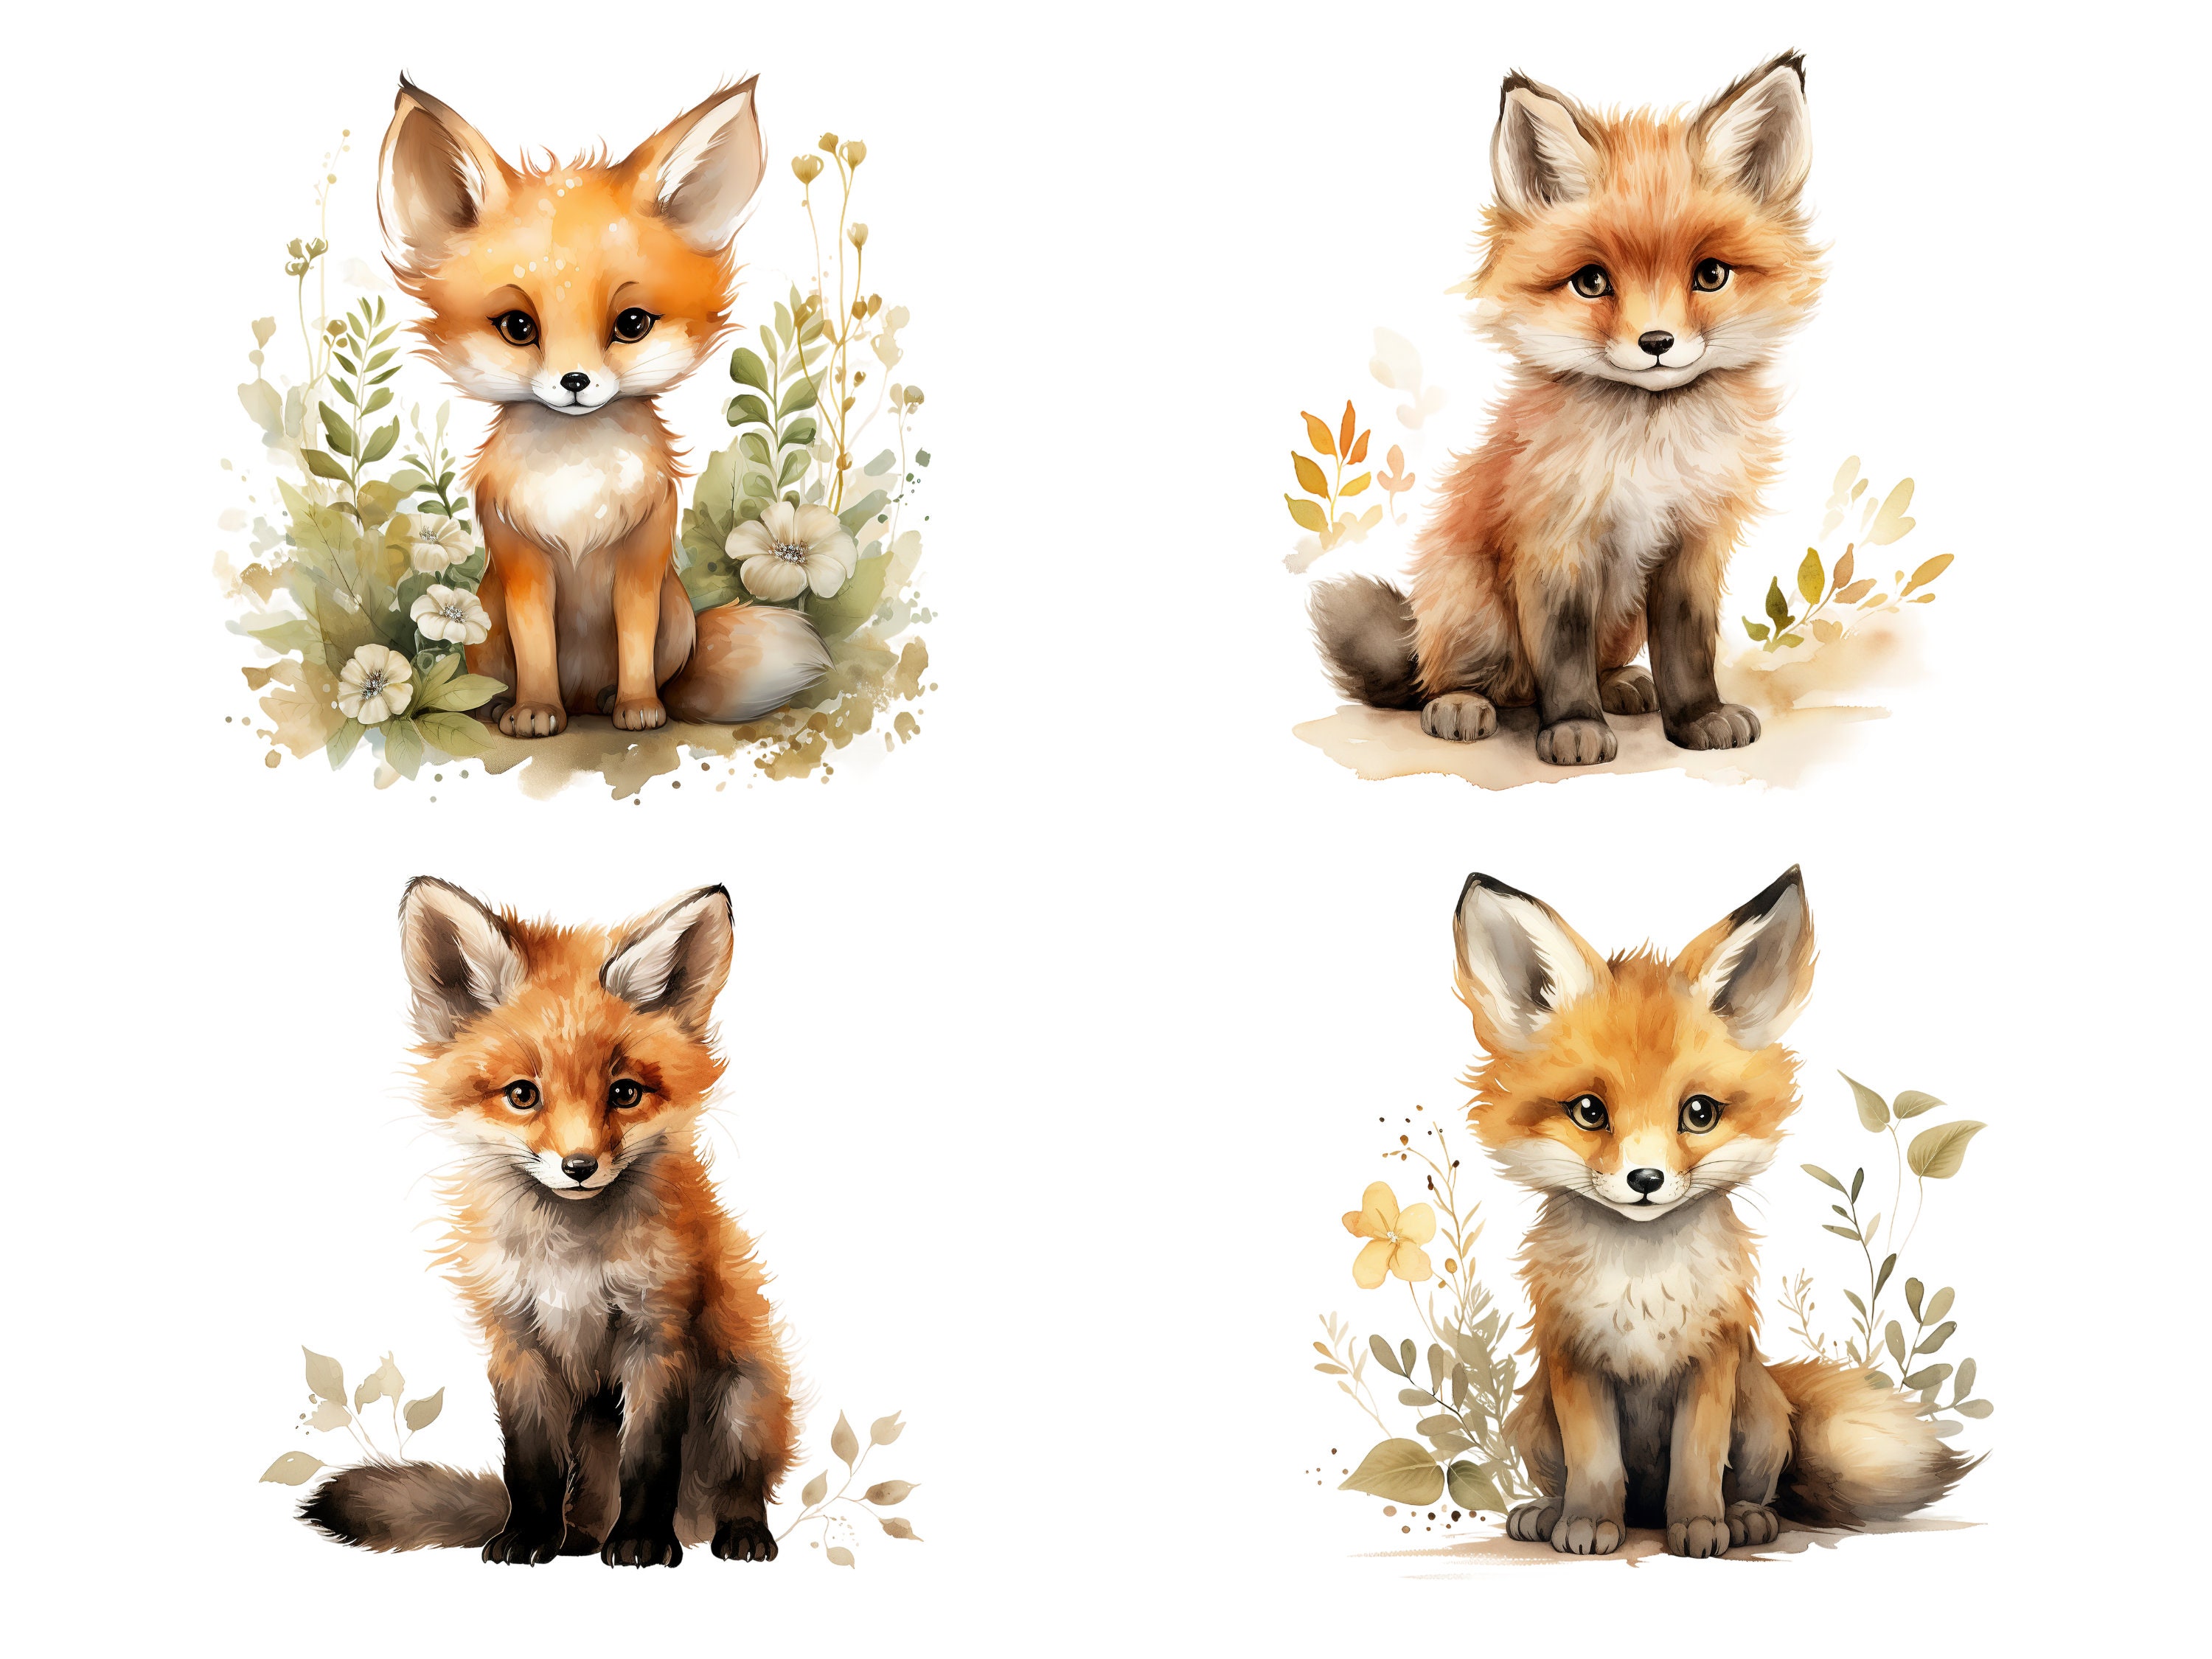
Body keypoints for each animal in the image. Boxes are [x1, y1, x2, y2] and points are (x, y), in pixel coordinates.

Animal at [301, 878, 795, 1567]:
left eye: (625, 1093)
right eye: (522, 1095)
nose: (580, 1166)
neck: (570, 1256)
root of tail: (694, 1518)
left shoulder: (657, 1332)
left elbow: (650, 1459)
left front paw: (643, 1541)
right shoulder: (516, 1339)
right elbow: (529, 1461)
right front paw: (528, 1536)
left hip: (744, 1396)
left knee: (742, 1481)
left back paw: (736, 1531)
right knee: (582, 1498)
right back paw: (577, 1538)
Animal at [377, 78, 829, 738]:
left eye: (632, 323)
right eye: (518, 327)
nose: (575, 380)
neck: (576, 479)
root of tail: (585, 695)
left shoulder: (642, 557)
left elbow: (633, 638)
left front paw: (639, 707)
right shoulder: (522, 563)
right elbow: (536, 648)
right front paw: (537, 710)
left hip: (676, 616)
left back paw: (622, 699)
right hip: (485, 619)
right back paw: (502, 706)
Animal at [1311, 54, 1824, 766]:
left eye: (1711, 275)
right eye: (1591, 282)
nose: (1657, 343)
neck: (1648, 447)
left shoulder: (1692, 547)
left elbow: (1689, 652)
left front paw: (1698, 717)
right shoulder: (1555, 545)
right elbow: (1562, 656)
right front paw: (1575, 728)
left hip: (1622, 619)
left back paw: (1622, 685)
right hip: (1472, 609)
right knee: (1463, 678)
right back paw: (1462, 703)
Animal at [1449, 867, 1969, 1556]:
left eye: (1699, 1114)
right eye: (1589, 1111)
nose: (1646, 1179)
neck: (1641, 1281)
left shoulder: (1711, 1360)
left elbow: (1697, 1461)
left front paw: (1698, 1525)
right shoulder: (1575, 1360)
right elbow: (1596, 1463)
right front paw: (1587, 1521)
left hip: (1760, 1416)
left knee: (1755, 1488)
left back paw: (1744, 1518)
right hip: (1534, 1418)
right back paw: (1548, 1513)